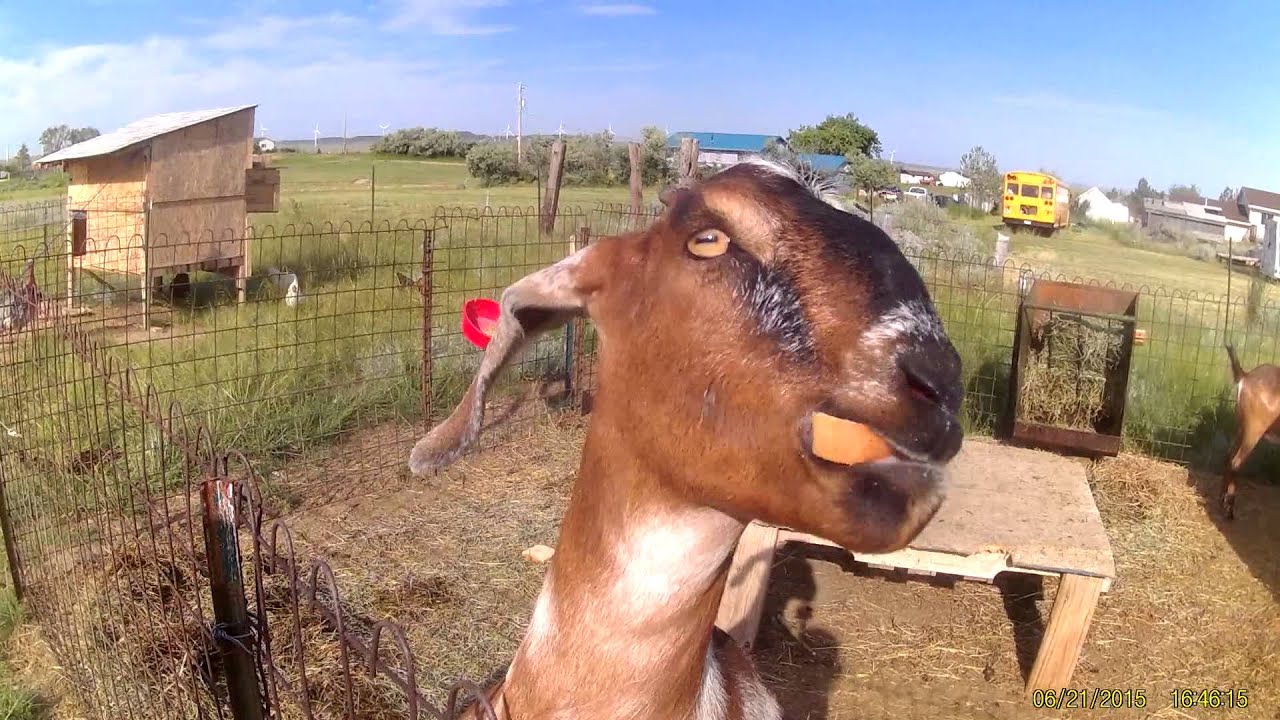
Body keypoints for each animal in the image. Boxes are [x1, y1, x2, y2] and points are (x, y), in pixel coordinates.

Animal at [1221, 343, 1280, 519]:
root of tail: (1245, 376)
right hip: (1254, 430)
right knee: (1236, 463)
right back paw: (1229, 510)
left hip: (1240, 426)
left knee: (1228, 456)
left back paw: (1221, 501)